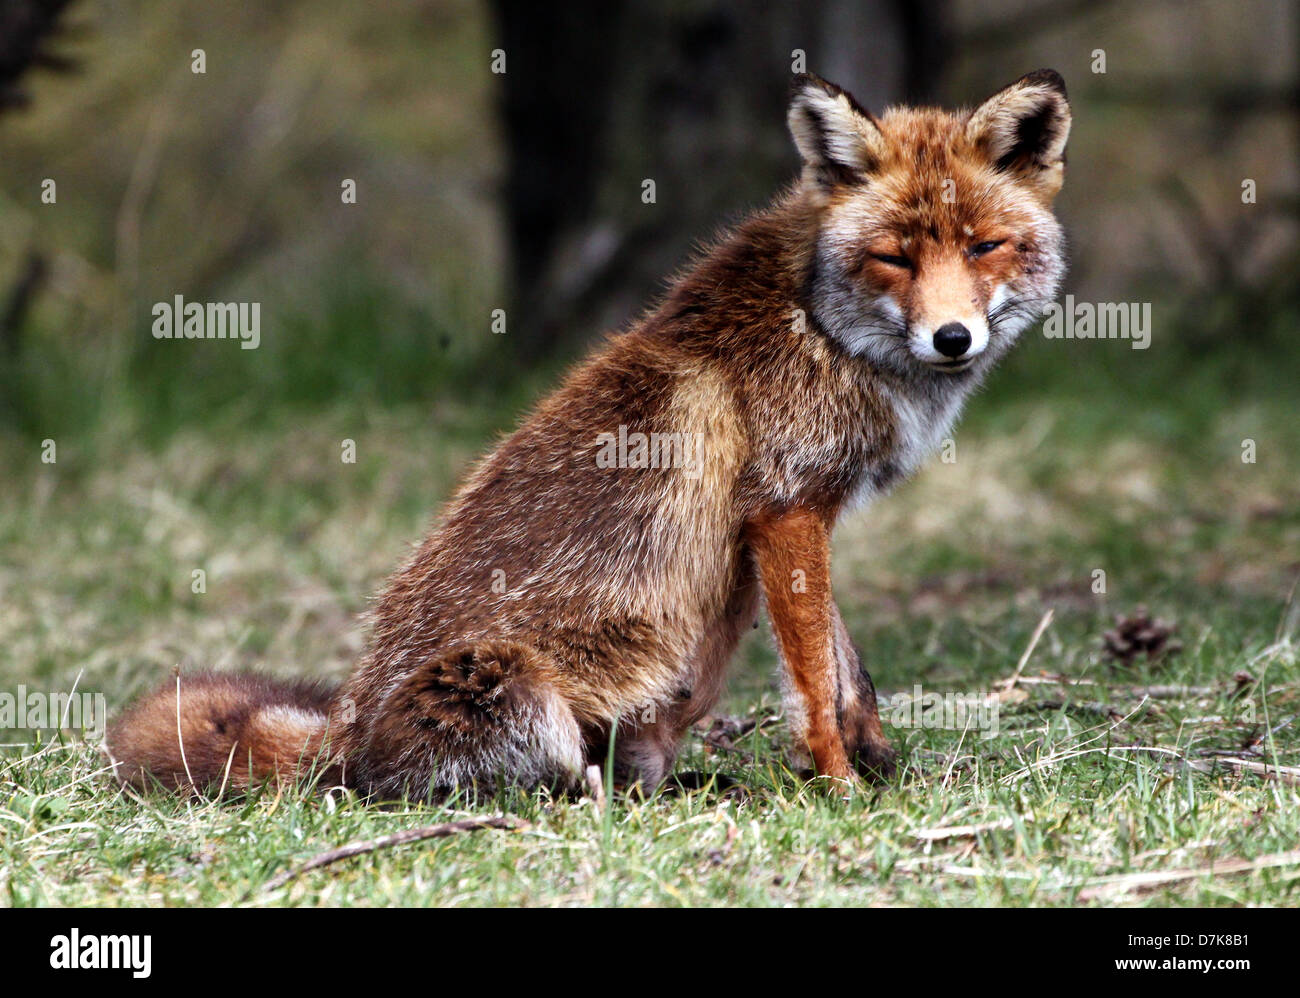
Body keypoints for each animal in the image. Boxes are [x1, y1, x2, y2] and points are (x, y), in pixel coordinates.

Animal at [108, 69, 1071, 799]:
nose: (953, 339)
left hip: (694, 650)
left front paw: (875, 766)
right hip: (512, 680)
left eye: (983, 246)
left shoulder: (803, 516)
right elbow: (813, 684)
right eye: (896, 257)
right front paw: (838, 785)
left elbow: (847, 670)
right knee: (544, 782)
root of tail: (344, 731)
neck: (823, 324)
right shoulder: (786, 508)